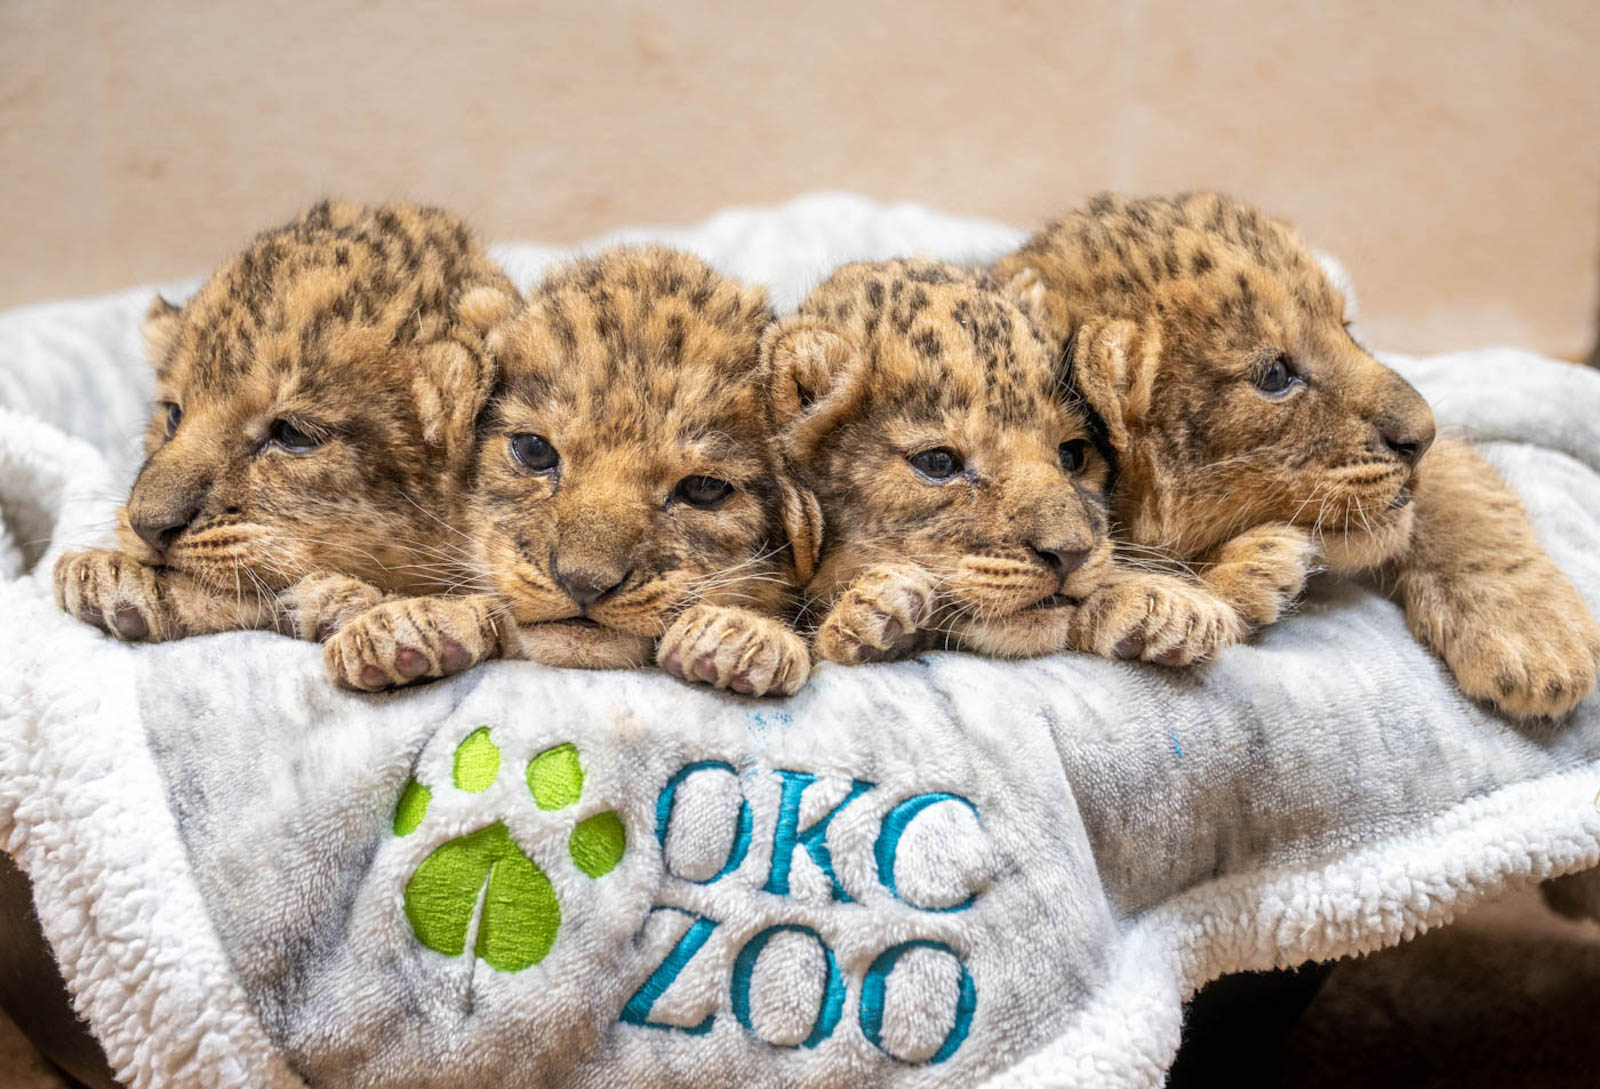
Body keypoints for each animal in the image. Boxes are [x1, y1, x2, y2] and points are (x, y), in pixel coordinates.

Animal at [996, 191, 1600, 718]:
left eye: (1347, 328)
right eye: (1275, 376)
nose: (1421, 434)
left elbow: (1465, 500)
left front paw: (1538, 643)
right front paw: (1244, 574)